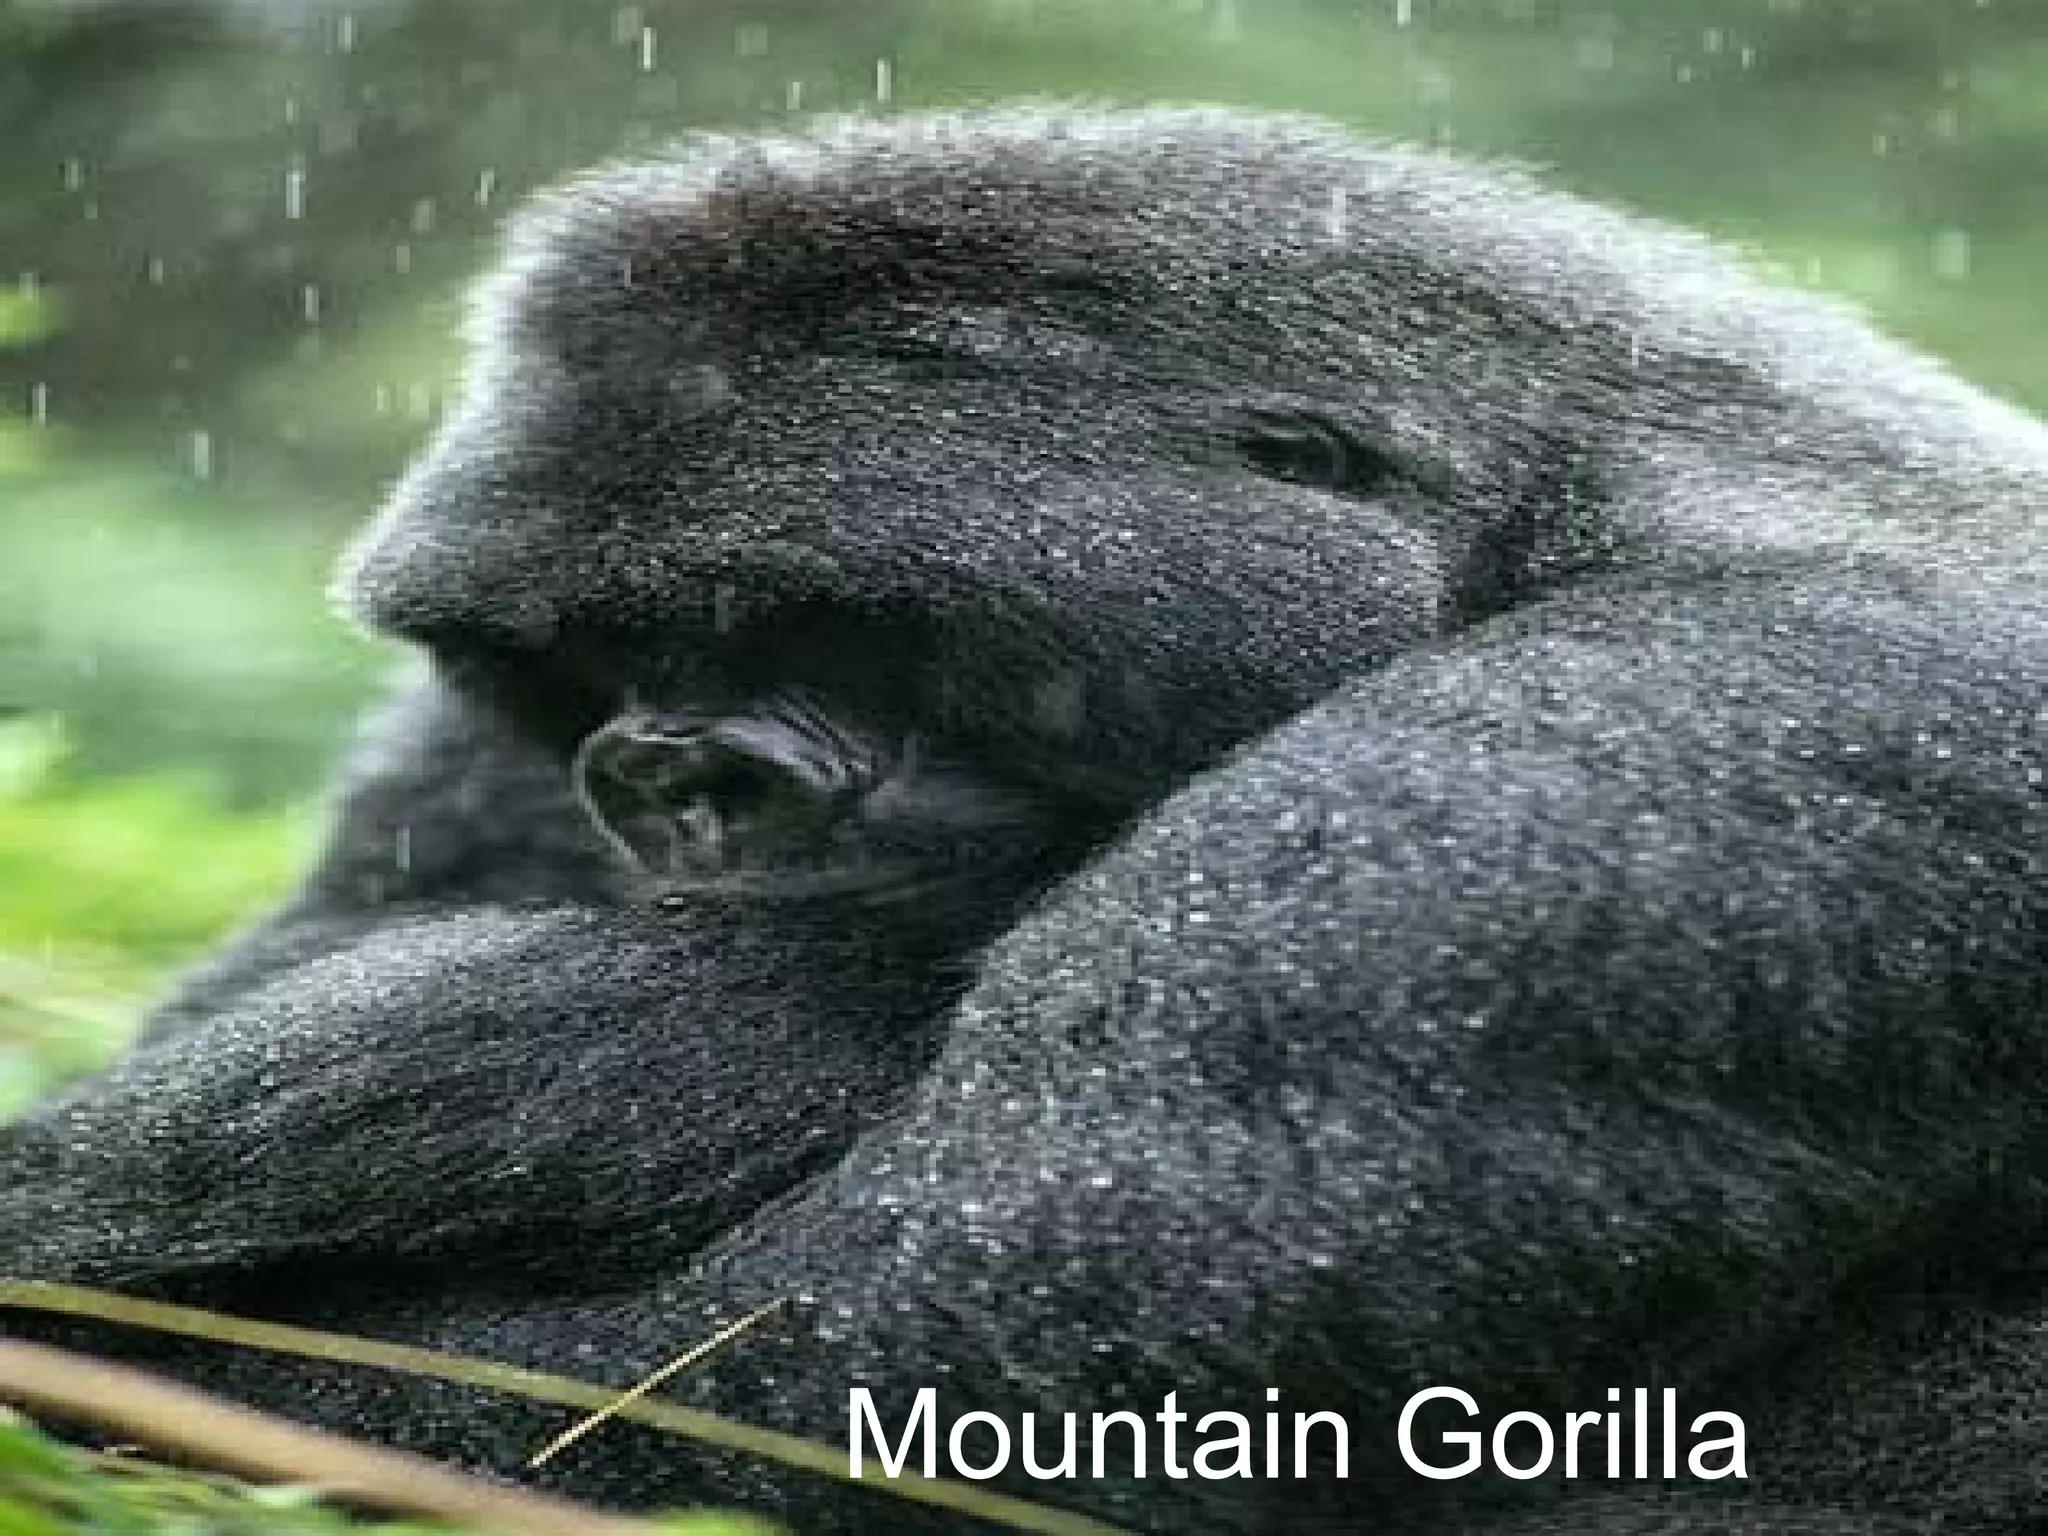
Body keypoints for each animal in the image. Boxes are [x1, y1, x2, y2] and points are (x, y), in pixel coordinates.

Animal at [5, 107, 2048, 1535]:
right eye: (610, 662)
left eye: (832, 626)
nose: (670, 779)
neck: (1551, 491)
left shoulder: (1632, 771)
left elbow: (821, 1398)